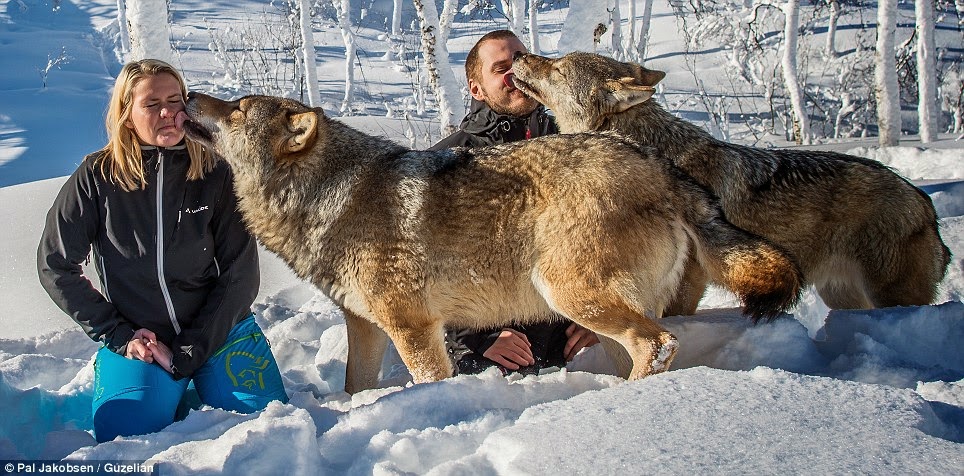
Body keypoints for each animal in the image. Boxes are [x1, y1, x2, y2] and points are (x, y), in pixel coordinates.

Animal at [181, 92, 802, 392]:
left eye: (237, 107)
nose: (190, 95)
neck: (329, 194)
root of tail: (662, 168)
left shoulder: (414, 327)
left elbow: (429, 382)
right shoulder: (365, 325)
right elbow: (356, 386)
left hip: (570, 294)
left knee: (659, 345)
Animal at [511, 51, 951, 314]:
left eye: (557, 66)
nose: (516, 54)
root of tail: (924, 202)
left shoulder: (690, 279)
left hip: (890, 296)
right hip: (843, 296)